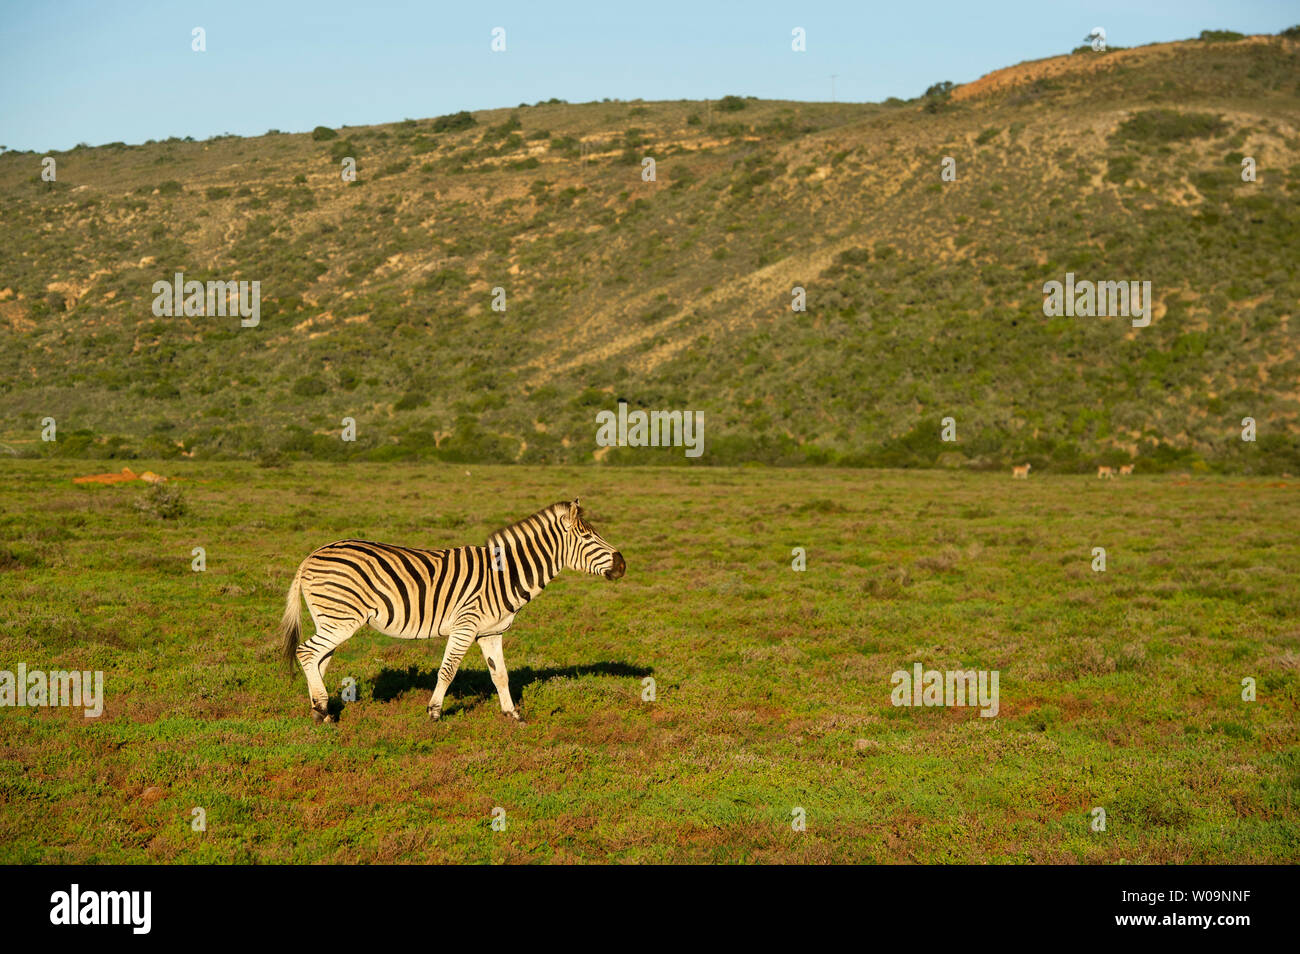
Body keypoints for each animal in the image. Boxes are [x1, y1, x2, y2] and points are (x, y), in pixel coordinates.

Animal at [277, 499, 625, 724]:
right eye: (587, 536)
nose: (622, 564)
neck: (504, 574)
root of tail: (311, 555)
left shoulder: (491, 632)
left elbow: (500, 674)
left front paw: (512, 714)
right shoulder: (465, 625)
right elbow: (448, 670)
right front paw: (434, 712)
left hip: (329, 618)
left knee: (319, 658)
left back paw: (319, 710)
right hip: (342, 618)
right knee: (307, 652)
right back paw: (322, 708)